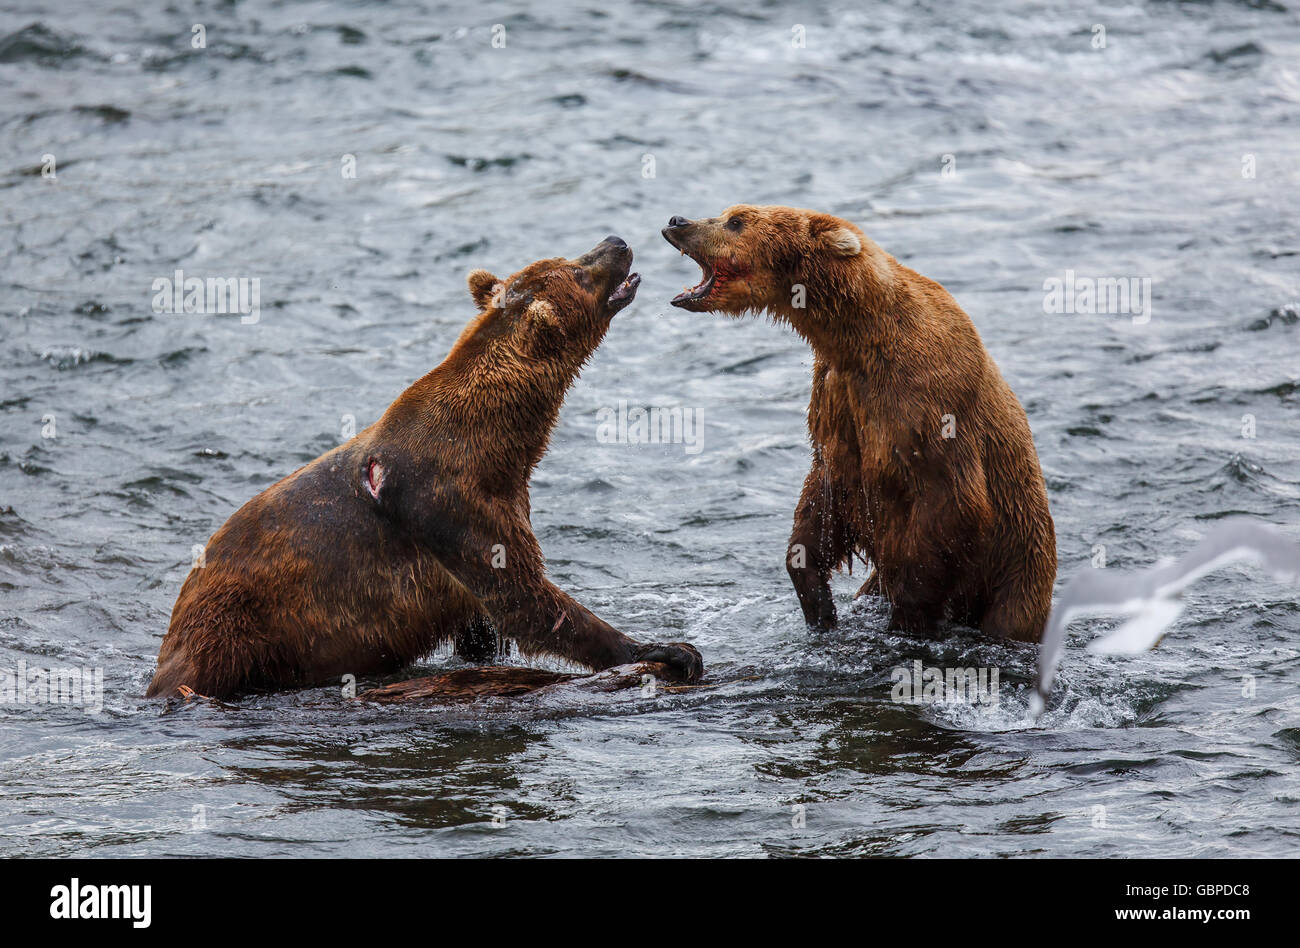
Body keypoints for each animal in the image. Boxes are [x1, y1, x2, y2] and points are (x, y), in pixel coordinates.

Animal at [147, 235, 703, 698]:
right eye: (576, 269)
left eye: (568, 255)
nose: (617, 241)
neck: (499, 444)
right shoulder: (447, 506)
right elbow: (527, 600)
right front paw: (666, 649)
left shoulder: (499, 501)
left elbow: (485, 626)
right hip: (238, 630)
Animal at [662, 205, 1056, 642]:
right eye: (727, 214)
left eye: (736, 221)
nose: (678, 221)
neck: (859, 338)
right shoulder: (838, 400)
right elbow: (826, 493)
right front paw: (818, 598)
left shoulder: (930, 405)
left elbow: (952, 507)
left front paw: (906, 617)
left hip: (1017, 573)